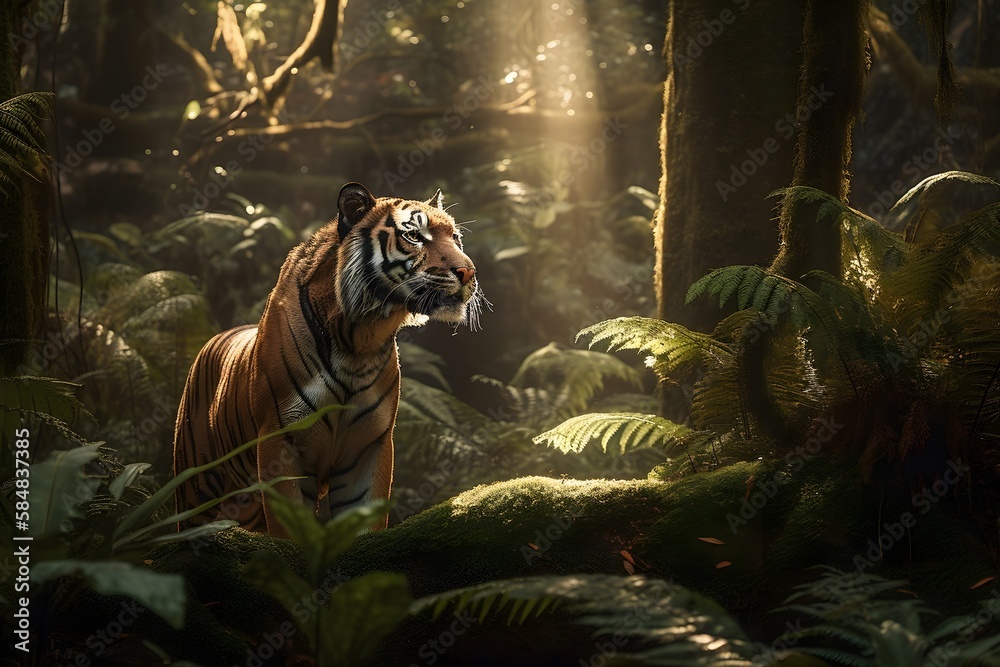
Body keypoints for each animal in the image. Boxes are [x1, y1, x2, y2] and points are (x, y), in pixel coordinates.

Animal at [172, 182, 481, 536]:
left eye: (455, 237)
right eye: (415, 235)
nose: (468, 272)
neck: (359, 340)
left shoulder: (370, 445)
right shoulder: (280, 442)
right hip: (196, 486)